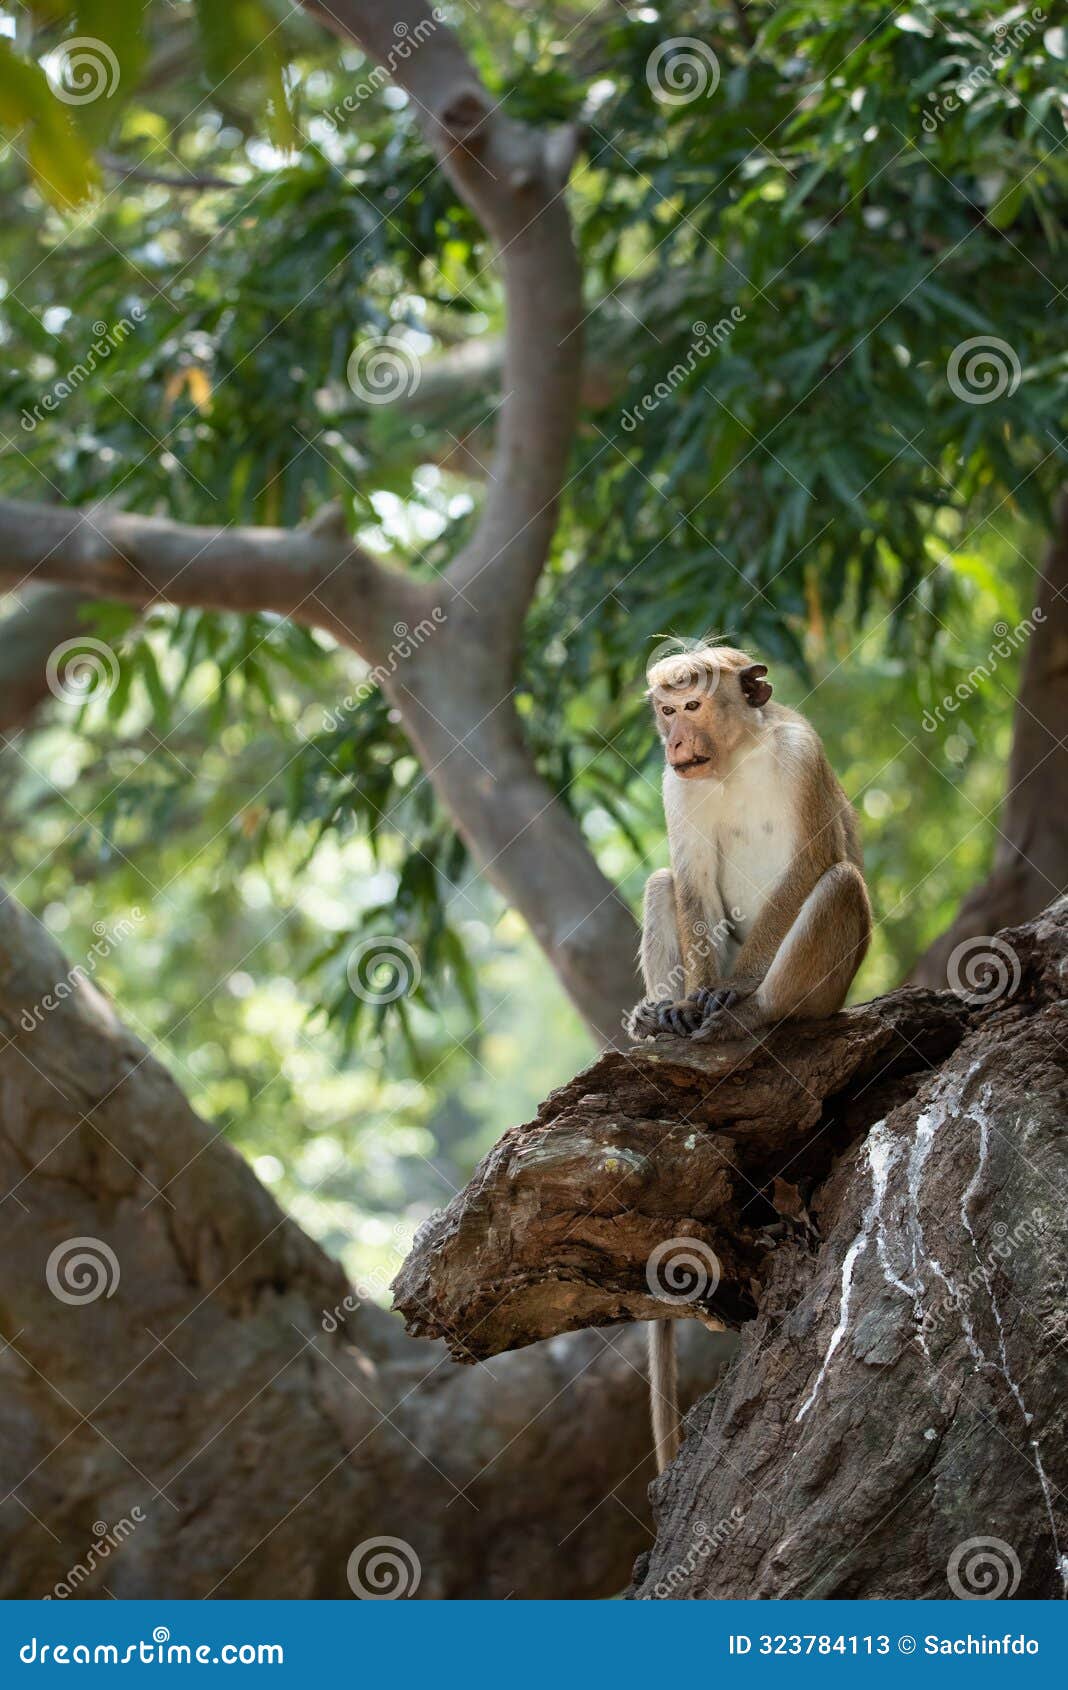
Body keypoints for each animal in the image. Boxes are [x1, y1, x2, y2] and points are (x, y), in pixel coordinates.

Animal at [625, 643, 872, 1472]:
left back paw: (751, 1014)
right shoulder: (678, 788)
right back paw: (664, 1015)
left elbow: (813, 860)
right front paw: (688, 1000)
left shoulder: (802, 756)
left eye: (693, 704)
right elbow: (692, 886)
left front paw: (728, 996)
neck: (732, 762)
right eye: (666, 709)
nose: (673, 739)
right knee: (664, 880)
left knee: (840, 882)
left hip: (827, 987)